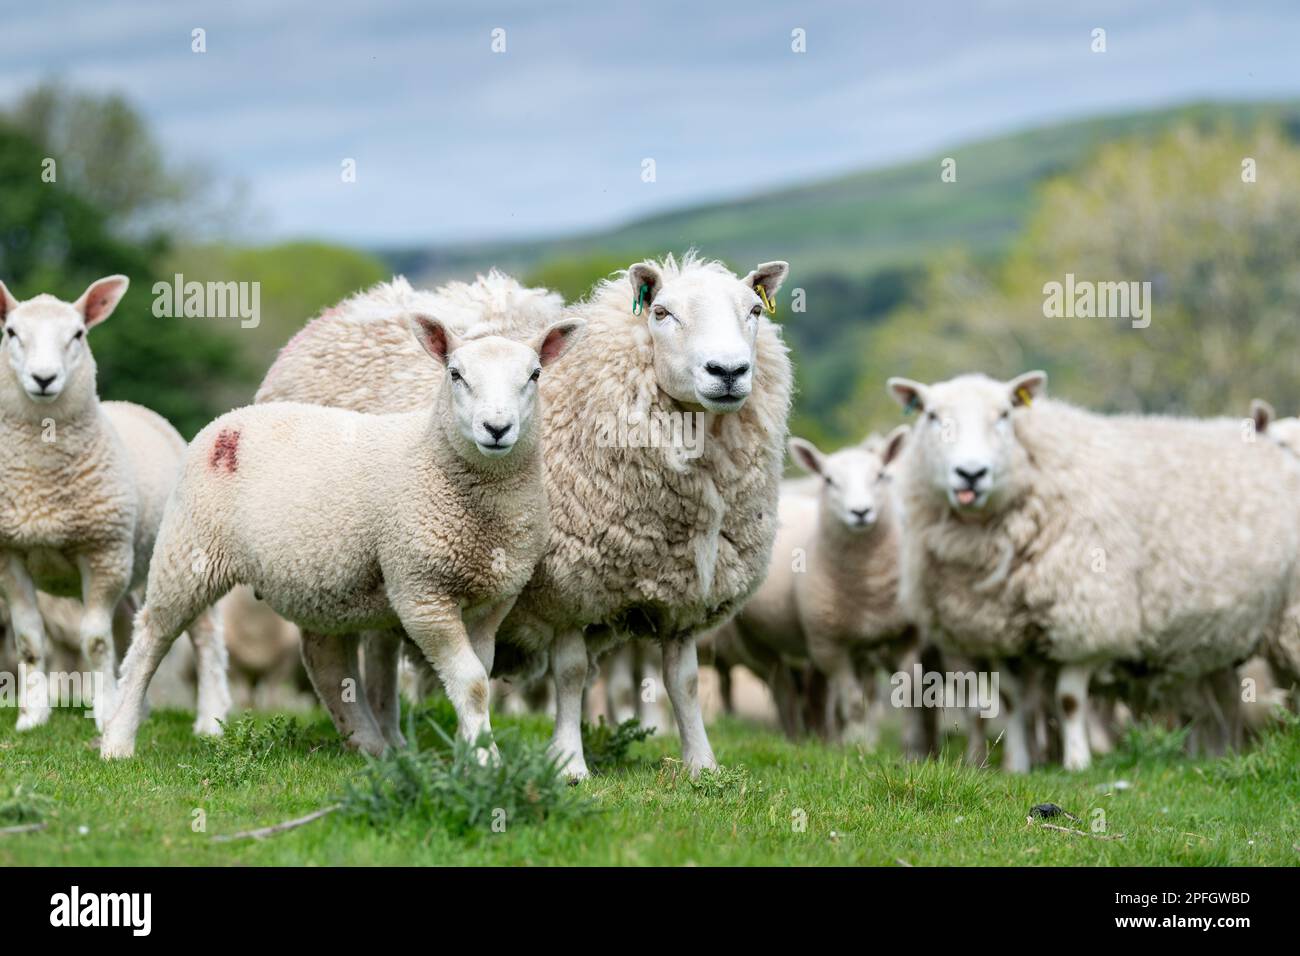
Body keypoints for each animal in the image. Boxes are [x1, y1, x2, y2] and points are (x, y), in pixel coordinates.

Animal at [0, 276, 229, 734]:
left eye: (78, 334)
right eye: (11, 332)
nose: (43, 378)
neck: (41, 482)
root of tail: (133, 408)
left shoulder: (102, 552)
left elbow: (95, 641)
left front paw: (104, 714)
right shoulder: (9, 554)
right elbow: (30, 640)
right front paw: (32, 717)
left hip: (182, 554)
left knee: (206, 635)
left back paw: (209, 720)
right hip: (133, 564)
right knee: (127, 624)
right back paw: (135, 708)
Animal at [100, 313, 583, 759]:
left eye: (535, 375)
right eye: (455, 374)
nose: (497, 429)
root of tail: (231, 418)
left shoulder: (492, 601)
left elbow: (477, 677)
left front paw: (470, 751)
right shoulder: (421, 592)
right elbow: (472, 682)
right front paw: (486, 762)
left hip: (321, 582)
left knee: (327, 664)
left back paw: (371, 745)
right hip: (187, 552)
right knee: (148, 641)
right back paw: (117, 739)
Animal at [252, 254, 793, 778]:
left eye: (755, 311)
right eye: (662, 313)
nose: (728, 371)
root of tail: (331, 317)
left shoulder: (683, 595)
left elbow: (684, 682)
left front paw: (702, 766)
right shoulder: (566, 589)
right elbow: (571, 674)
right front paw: (570, 764)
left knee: (381, 650)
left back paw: (393, 743)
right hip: (319, 559)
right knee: (327, 658)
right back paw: (367, 741)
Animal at [886, 371, 1300, 772]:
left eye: (1004, 414)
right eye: (931, 415)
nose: (971, 473)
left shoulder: (1087, 621)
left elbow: (1069, 700)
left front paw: (1076, 763)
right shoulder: (998, 630)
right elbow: (1012, 700)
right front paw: (1017, 765)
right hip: (1215, 642)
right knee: (1219, 703)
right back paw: (1216, 754)